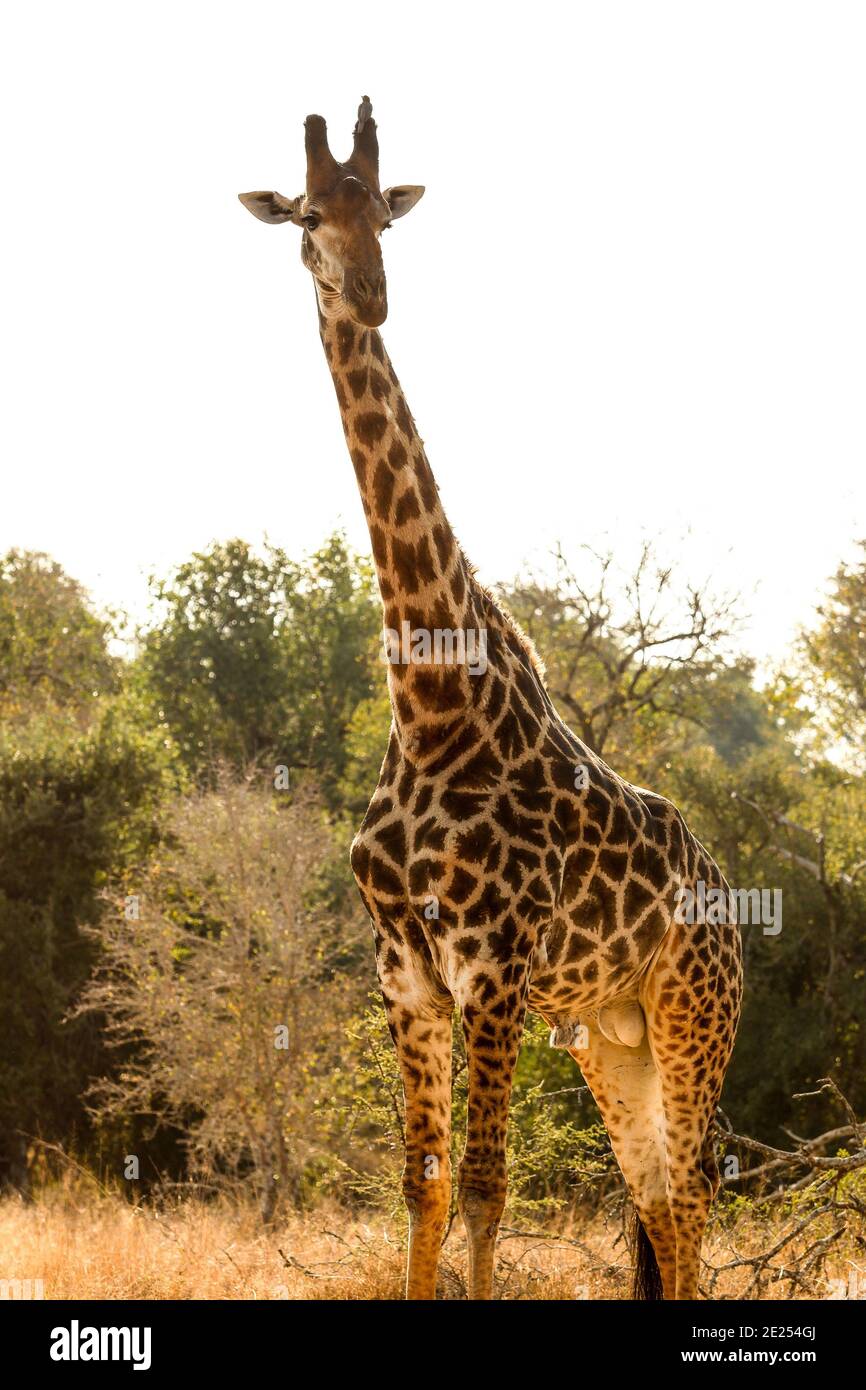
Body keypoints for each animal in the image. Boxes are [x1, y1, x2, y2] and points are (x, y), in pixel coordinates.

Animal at [240, 97, 743, 1301]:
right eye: (310, 216)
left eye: (384, 214)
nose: (371, 293)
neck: (427, 697)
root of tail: (728, 899)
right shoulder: (408, 972)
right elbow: (420, 1185)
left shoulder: (496, 964)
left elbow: (483, 1187)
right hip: (609, 1035)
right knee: (658, 1200)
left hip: (690, 1012)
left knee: (694, 1194)